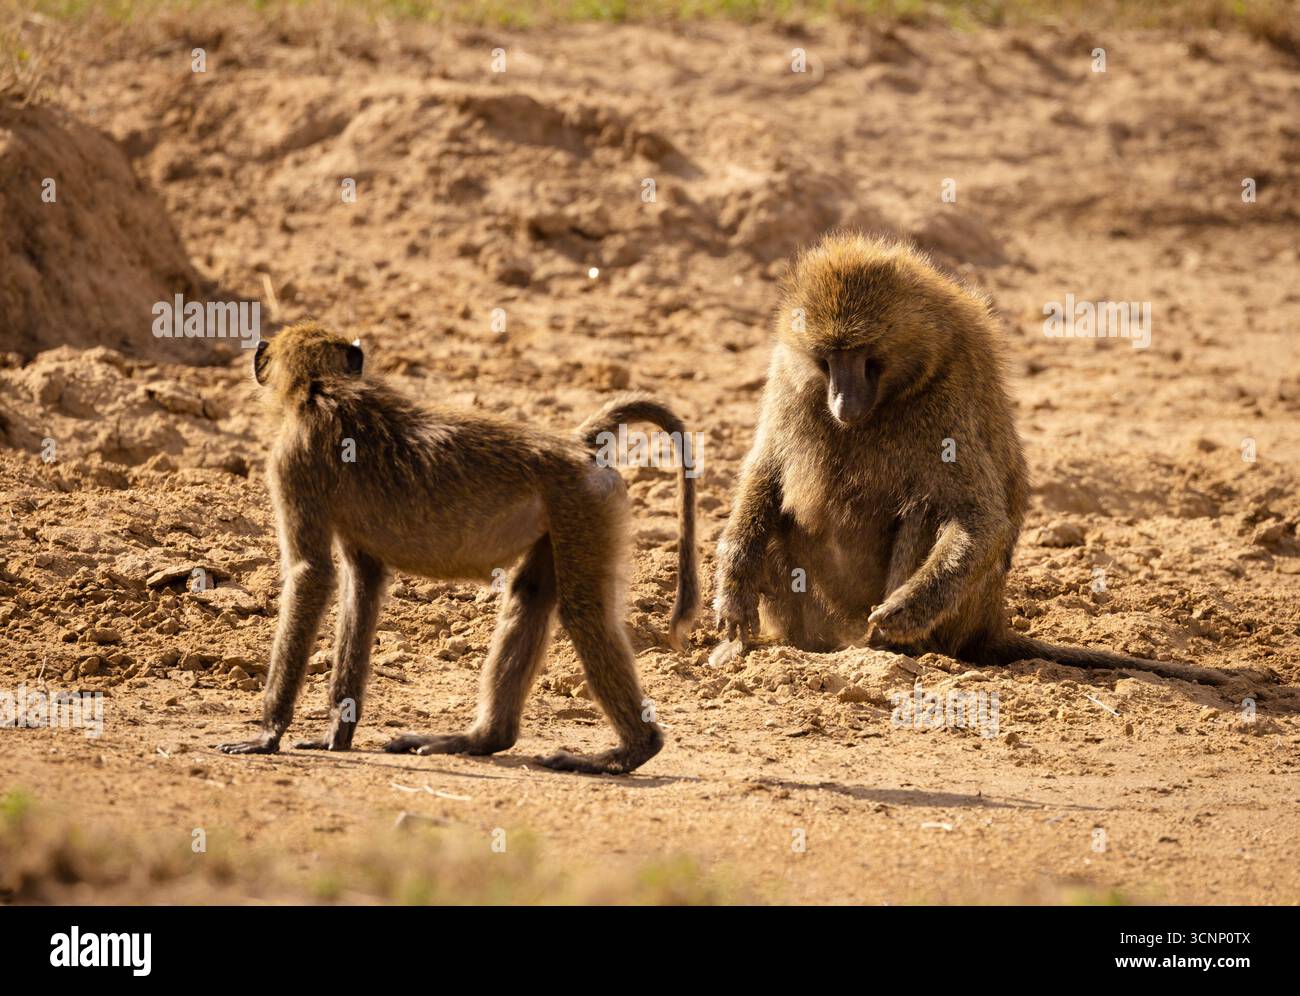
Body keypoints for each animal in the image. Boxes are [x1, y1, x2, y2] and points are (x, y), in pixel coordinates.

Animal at [217, 321, 700, 774]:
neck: (320, 387)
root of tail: (576, 448)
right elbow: (364, 582)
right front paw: (338, 730)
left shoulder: (291, 461)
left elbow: (311, 573)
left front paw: (267, 734)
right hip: (567, 513)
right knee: (531, 597)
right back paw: (481, 739)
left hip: (584, 504)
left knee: (584, 613)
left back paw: (628, 752)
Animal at [713, 231, 1233, 687]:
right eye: (828, 357)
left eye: (863, 355)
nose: (843, 405)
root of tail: (990, 622)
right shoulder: (787, 376)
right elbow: (765, 473)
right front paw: (733, 592)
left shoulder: (947, 401)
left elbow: (978, 517)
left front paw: (904, 610)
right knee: (776, 519)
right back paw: (755, 648)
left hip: (954, 617)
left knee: (926, 508)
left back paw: (892, 650)